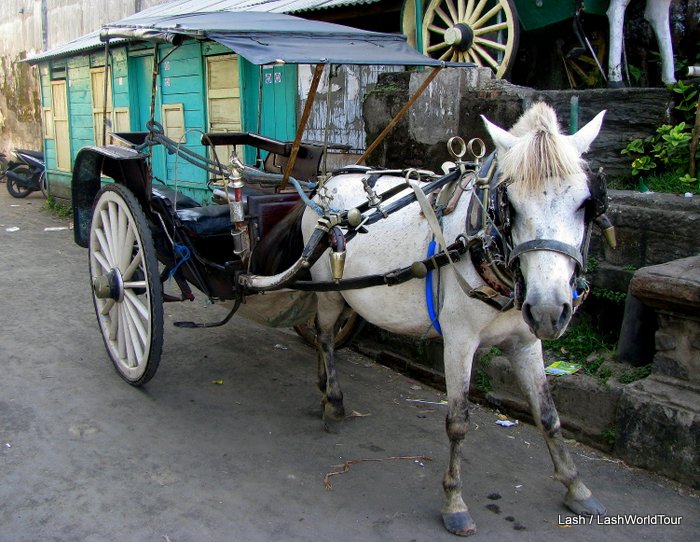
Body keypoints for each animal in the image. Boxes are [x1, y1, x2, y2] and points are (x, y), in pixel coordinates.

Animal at [288, 102, 608, 536]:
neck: (483, 245)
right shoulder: (459, 341)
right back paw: (333, 402)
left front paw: (576, 485)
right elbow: (458, 421)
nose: (547, 309)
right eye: (511, 205)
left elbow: (548, 415)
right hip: (330, 290)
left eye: (586, 203)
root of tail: (327, 182)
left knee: (328, 337)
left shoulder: (526, 342)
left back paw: (324, 388)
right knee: (324, 336)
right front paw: (454, 502)